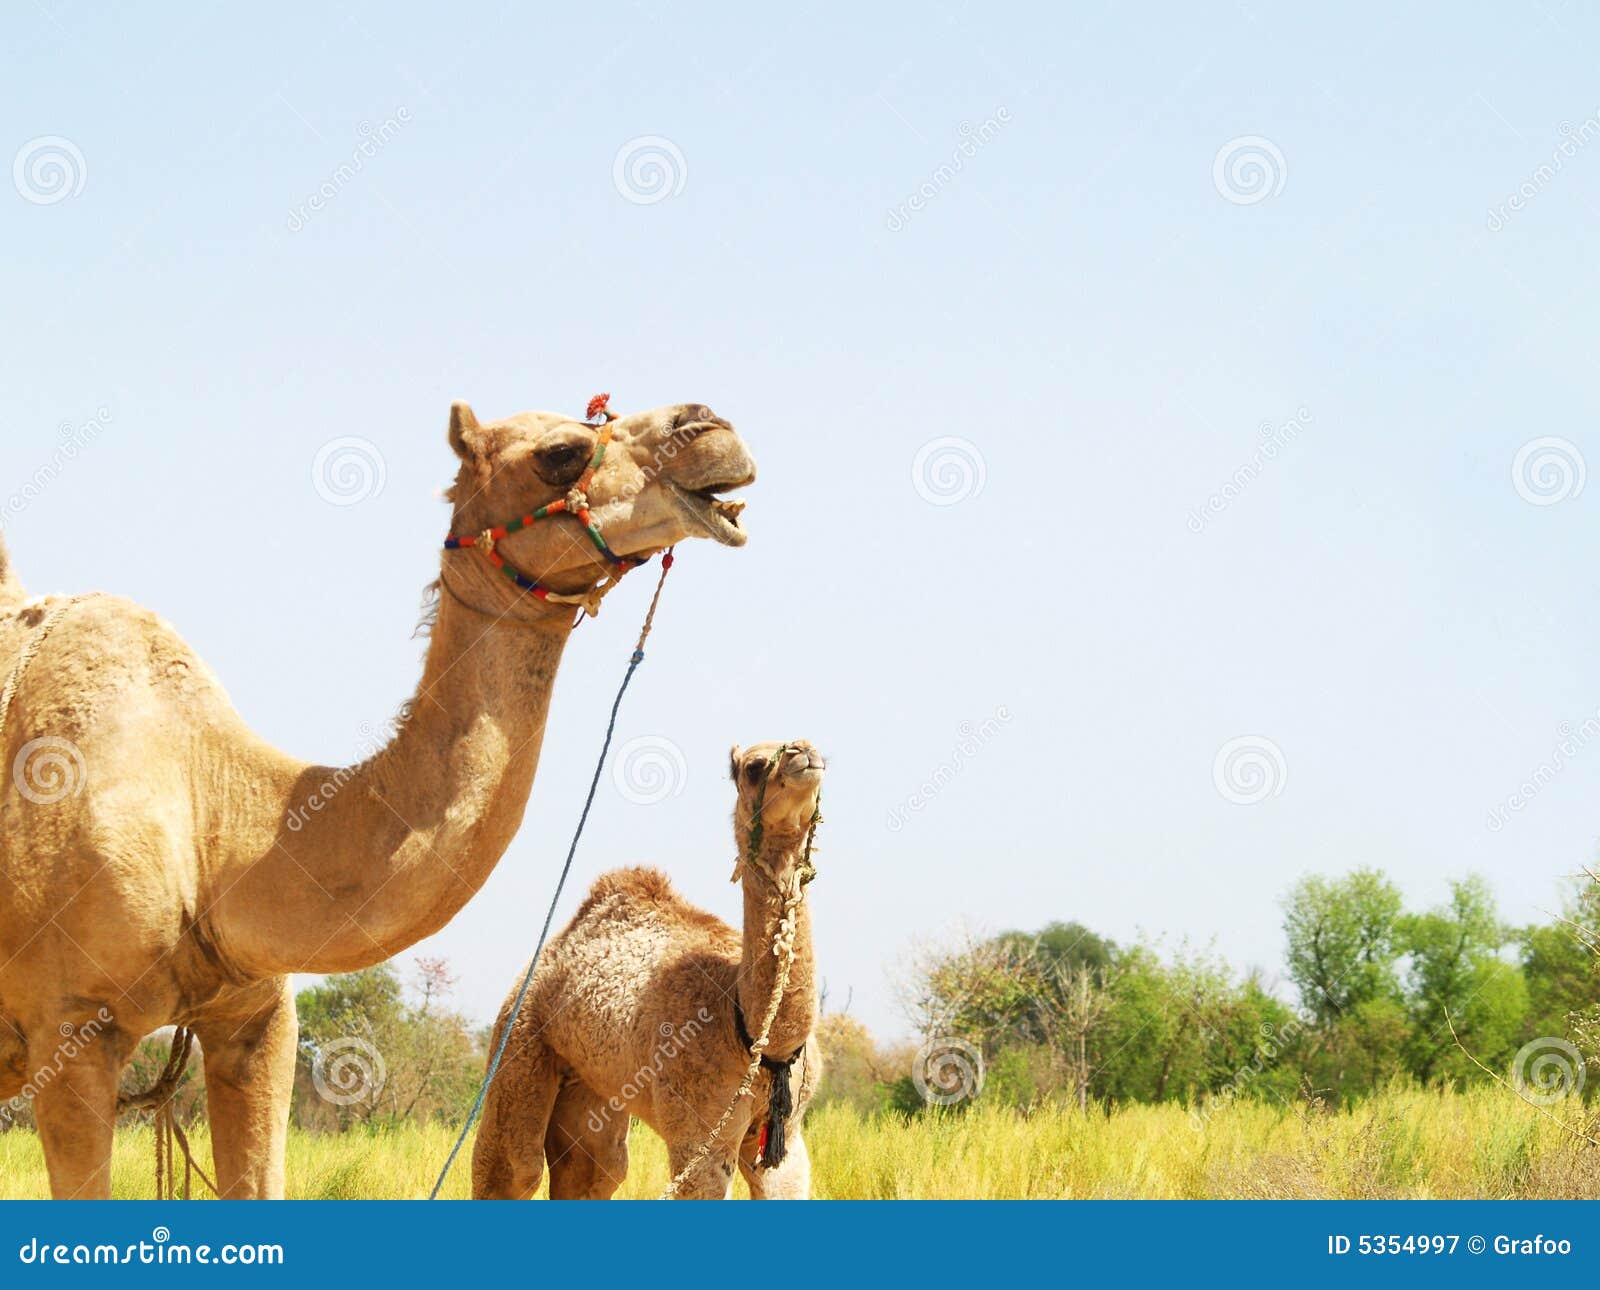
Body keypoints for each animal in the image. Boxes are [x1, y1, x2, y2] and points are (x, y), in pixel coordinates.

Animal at [472, 739, 826, 1201]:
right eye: (754, 766)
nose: (804, 752)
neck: (752, 1033)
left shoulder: (786, 1139)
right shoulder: (698, 1133)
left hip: (589, 1085)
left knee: (593, 1169)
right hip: (519, 1037)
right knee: (514, 1168)